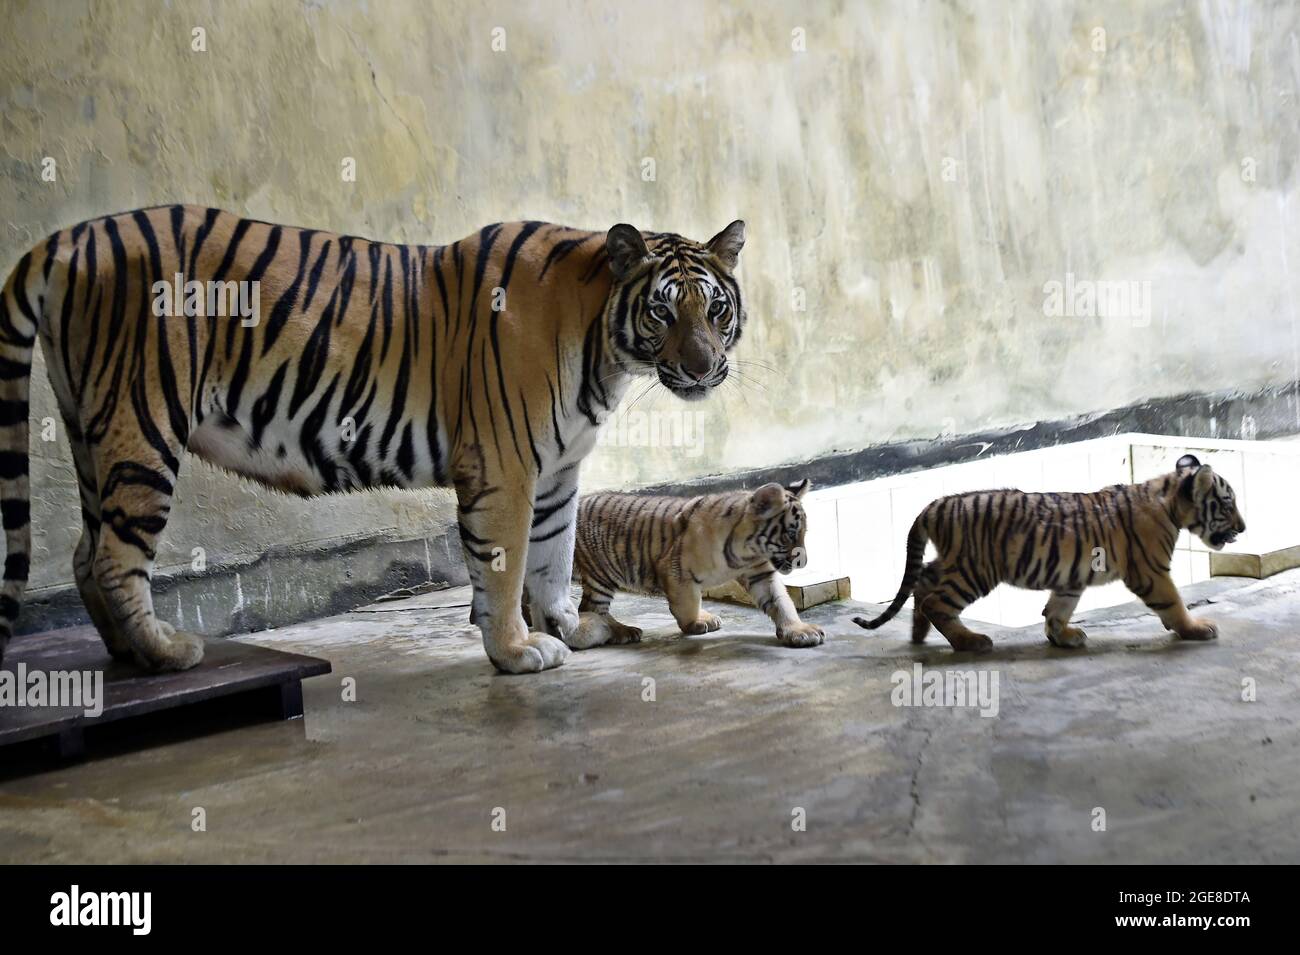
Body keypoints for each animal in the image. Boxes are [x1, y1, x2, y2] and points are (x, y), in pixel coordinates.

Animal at [0, 205, 749, 674]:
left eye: (716, 308)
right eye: (662, 312)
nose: (705, 367)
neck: (608, 349)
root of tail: (67, 238)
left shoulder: (559, 471)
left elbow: (553, 556)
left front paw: (571, 628)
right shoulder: (507, 466)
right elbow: (505, 568)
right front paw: (516, 651)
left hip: (92, 430)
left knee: (84, 551)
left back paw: (128, 656)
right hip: (142, 423)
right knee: (112, 556)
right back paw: (167, 653)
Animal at [567, 480, 825, 649]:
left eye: (803, 533)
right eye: (790, 534)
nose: (804, 561)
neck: (747, 551)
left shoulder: (760, 574)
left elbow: (781, 602)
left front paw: (799, 631)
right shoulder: (677, 571)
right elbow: (688, 603)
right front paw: (695, 623)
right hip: (601, 574)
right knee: (591, 609)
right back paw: (621, 631)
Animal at [852, 454, 1246, 652]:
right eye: (1227, 504)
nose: (1243, 528)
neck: (1170, 501)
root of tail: (935, 504)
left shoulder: (1071, 577)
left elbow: (1058, 608)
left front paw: (1063, 637)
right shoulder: (1151, 571)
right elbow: (1174, 603)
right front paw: (1196, 629)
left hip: (954, 561)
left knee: (922, 581)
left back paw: (919, 634)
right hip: (974, 569)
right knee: (937, 601)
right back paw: (970, 641)